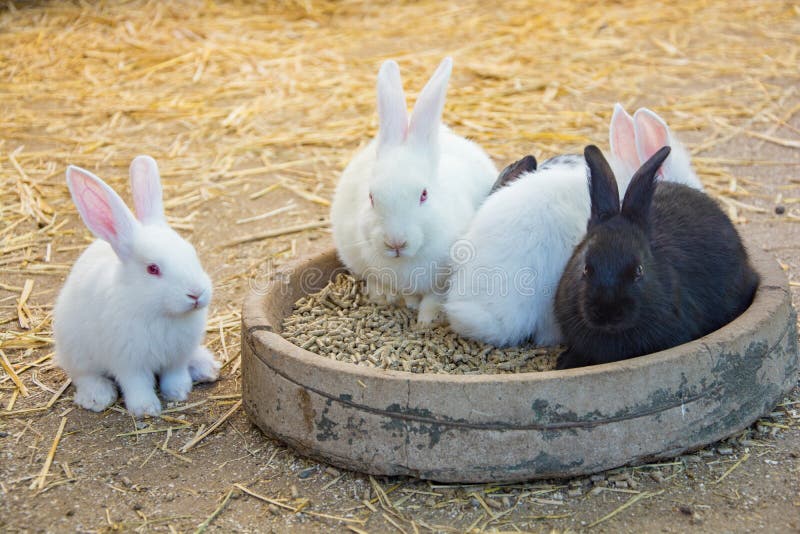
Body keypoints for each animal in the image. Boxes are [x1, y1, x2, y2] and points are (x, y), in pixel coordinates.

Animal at [53, 156, 220, 417]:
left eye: (191, 251)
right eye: (153, 269)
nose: (196, 294)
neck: (159, 312)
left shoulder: (177, 357)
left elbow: (175, 375)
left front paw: (179, 392)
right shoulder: (128, 362)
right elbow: (137, 385)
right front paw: (146, 409)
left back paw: (205, 368)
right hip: (75, 351)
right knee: (83, 375)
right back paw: (98, 397)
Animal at [330, 57, 497, 323]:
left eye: (424, 195)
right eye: (371, 197)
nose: (395, 243)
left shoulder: (442, 281)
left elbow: (434, 297)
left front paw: (427, 319)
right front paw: (389, 299)